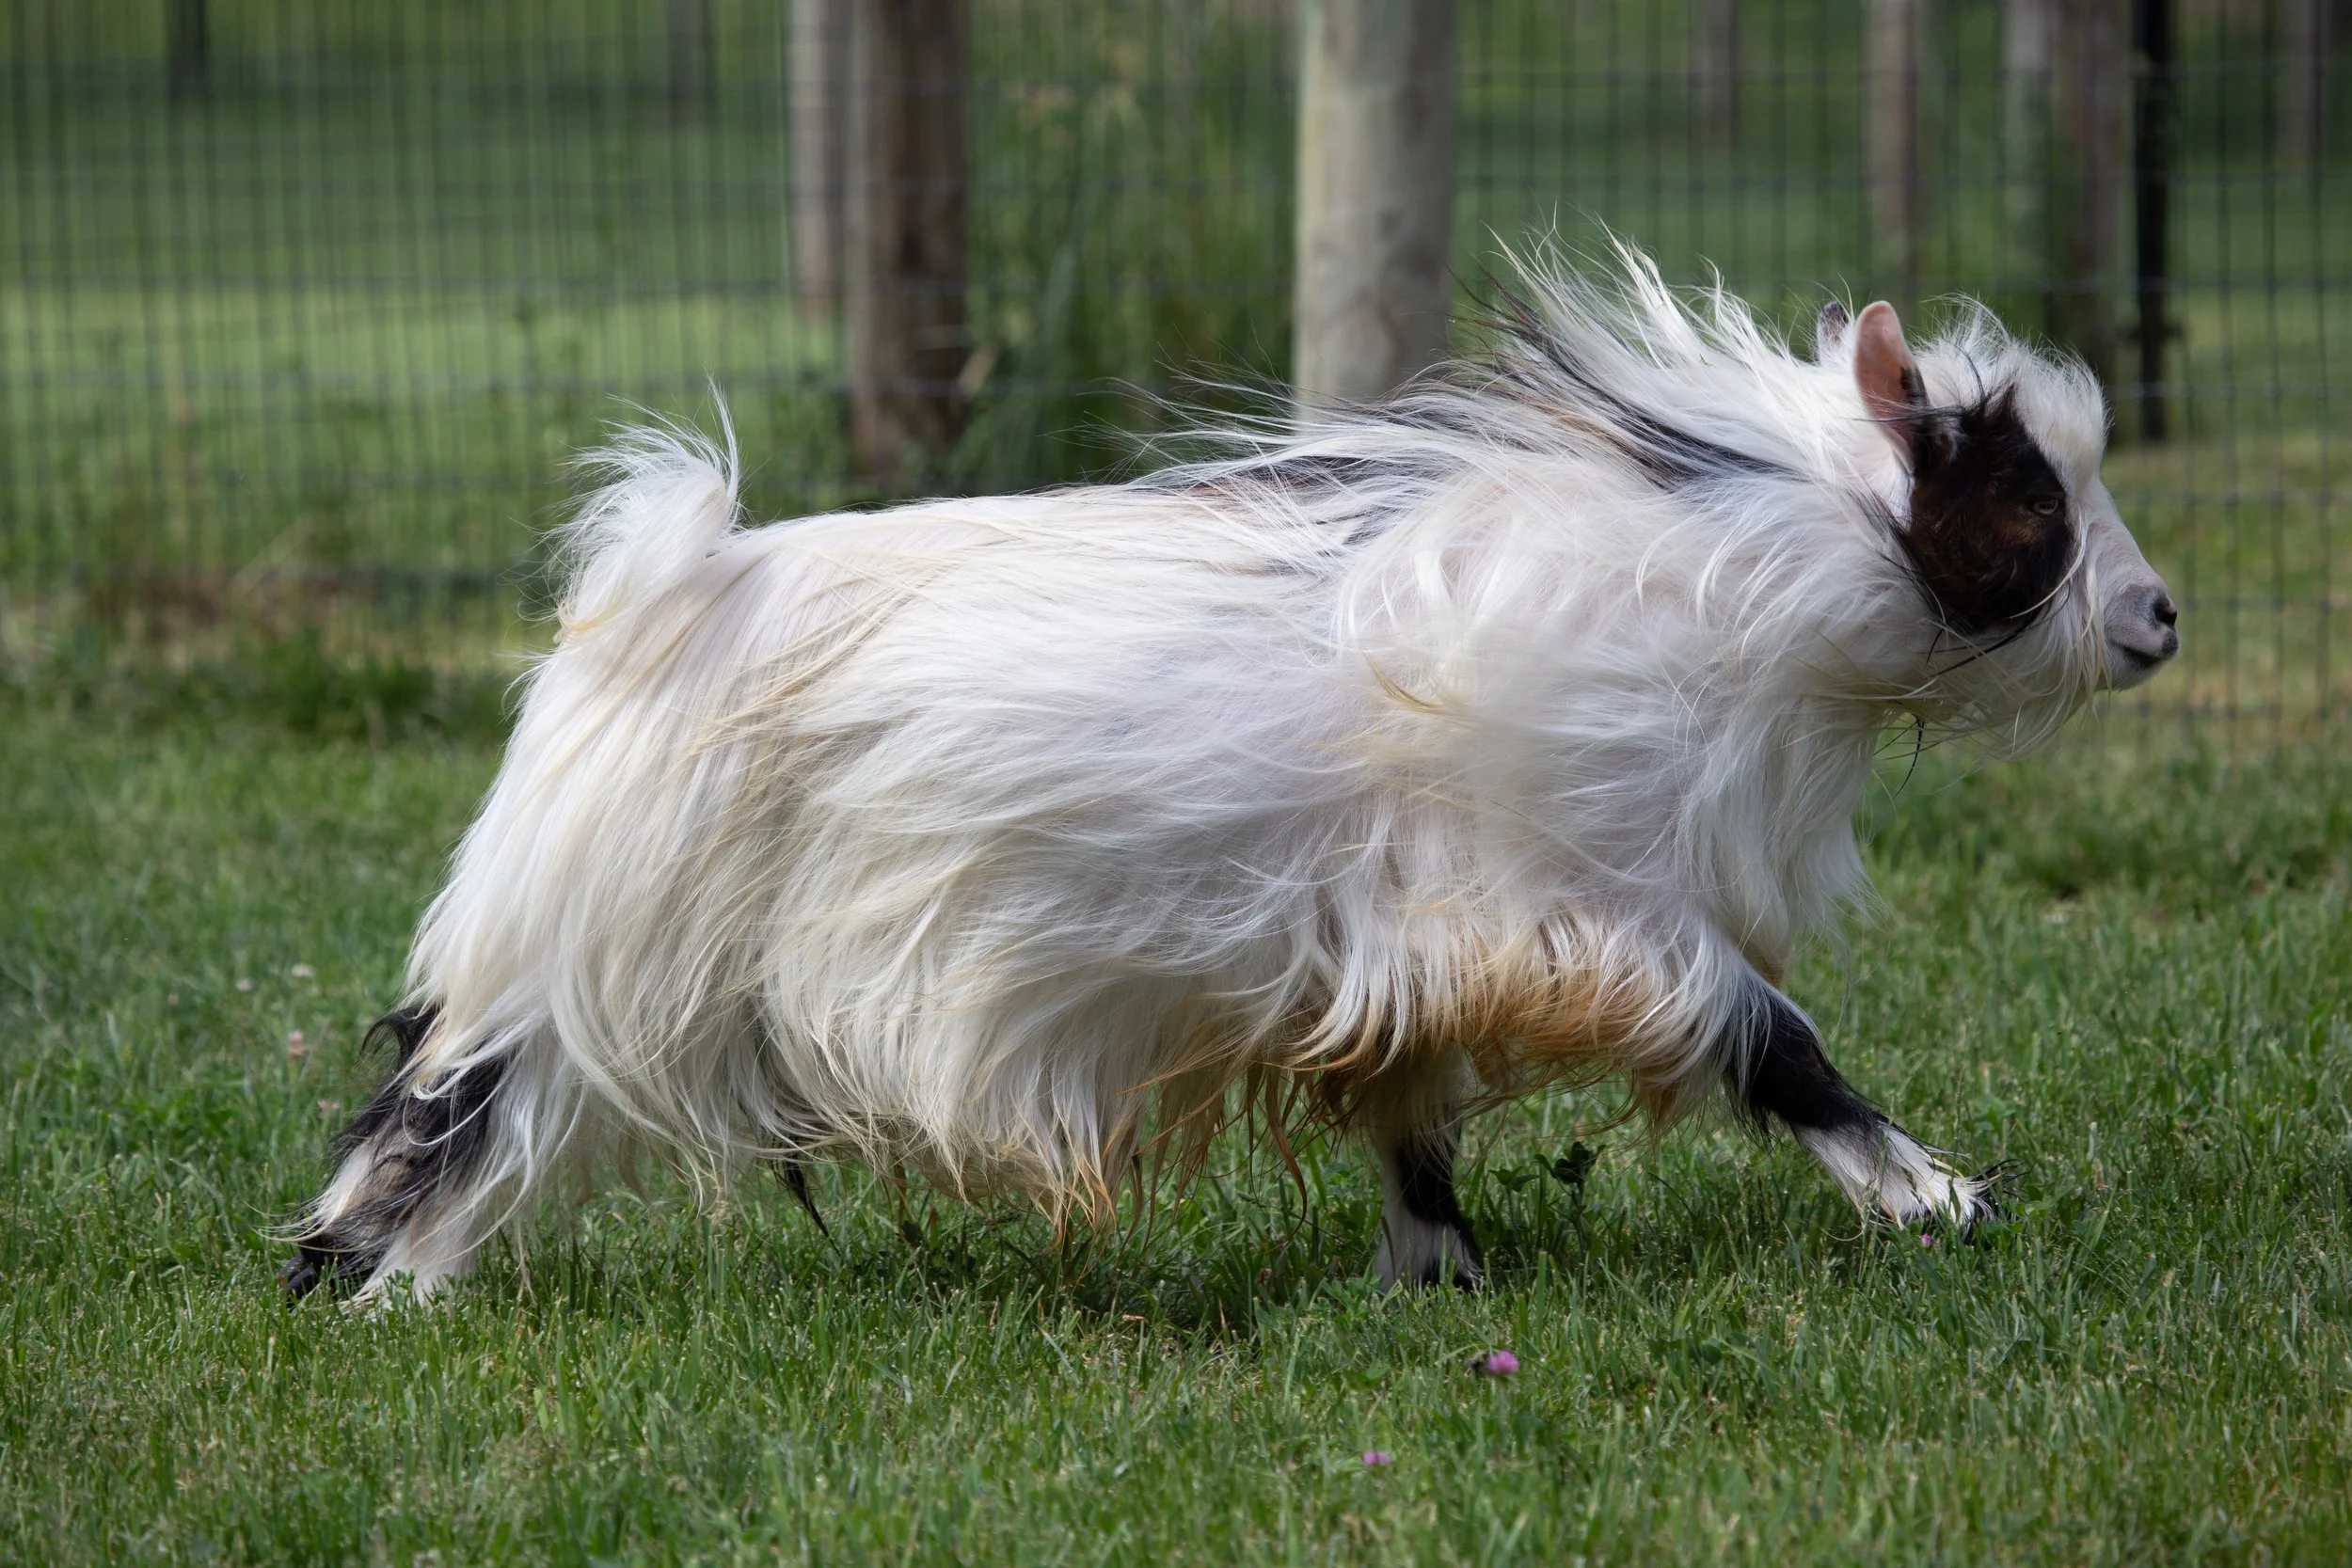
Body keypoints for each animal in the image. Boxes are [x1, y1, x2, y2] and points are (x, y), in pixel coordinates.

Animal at [285, 246, 2178, 1301]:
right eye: (2028, 492)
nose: (2159, 618)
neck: (1708, 570)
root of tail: (657, 600)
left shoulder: (1404, 947)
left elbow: (1413, 1123)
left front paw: (1438, 1284)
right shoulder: (1589, 902)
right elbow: (1778, 1043)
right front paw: (1937, 1196)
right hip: (589, 962)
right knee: (440, 1122)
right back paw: (372, 1296)